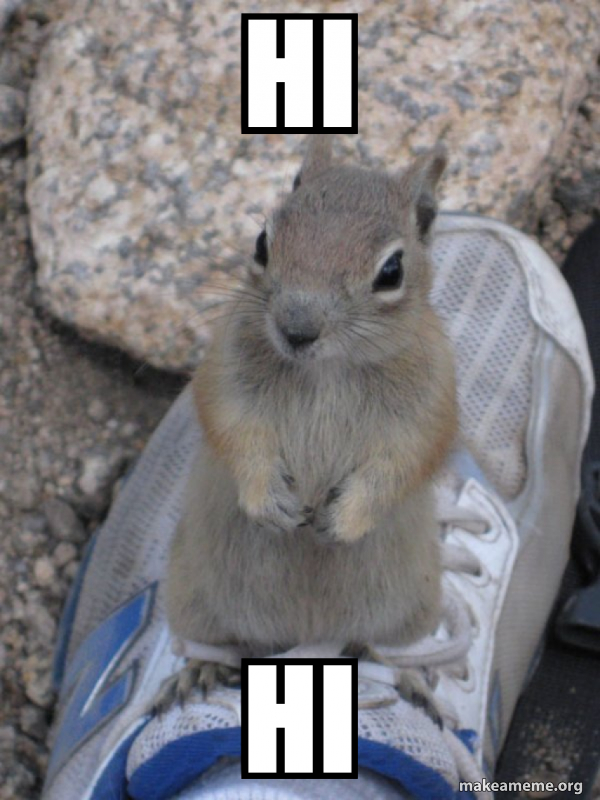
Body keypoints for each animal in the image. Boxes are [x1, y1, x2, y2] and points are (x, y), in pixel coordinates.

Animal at [158, 134, 458, 708]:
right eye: (261, 242)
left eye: (392, 272)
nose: (296, 328)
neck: (325, 370)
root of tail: (307, 636)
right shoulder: (226, 377)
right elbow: (237, 435)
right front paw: (269, 501)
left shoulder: (427, 409)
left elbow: (400, 465)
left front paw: (344, 519)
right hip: (190, 597)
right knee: (222, 644)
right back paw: (199, 672)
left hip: (414, 609)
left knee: (379, 645)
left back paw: (410, 682)